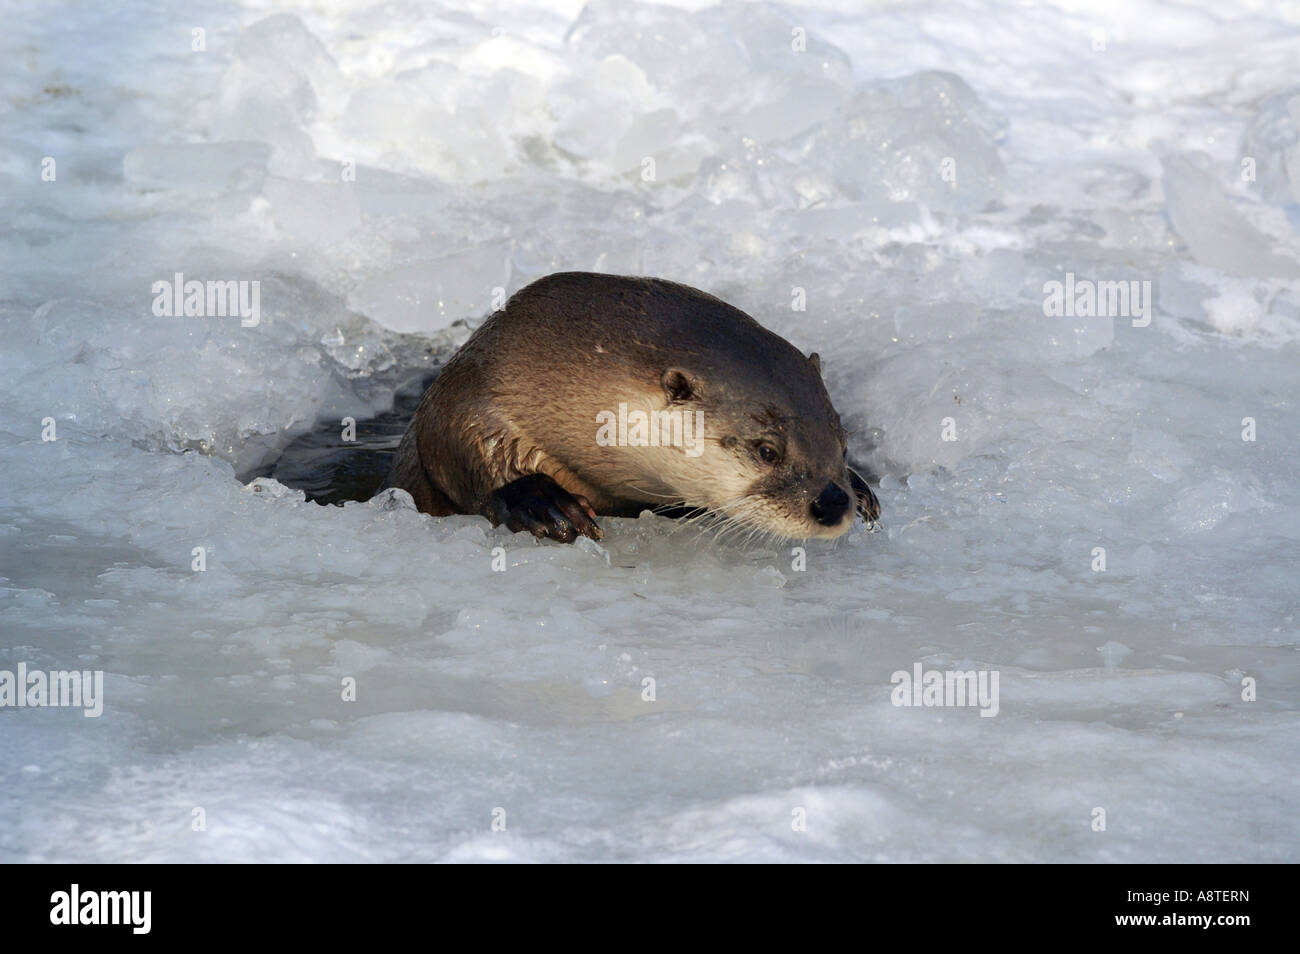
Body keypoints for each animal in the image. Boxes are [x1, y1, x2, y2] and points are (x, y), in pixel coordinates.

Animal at [381, 272, 879, 543]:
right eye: (767, 451)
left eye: (843, 444)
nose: (834, 503)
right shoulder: (479, 384)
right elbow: (456, 440)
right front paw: (542, 502)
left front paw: (863, 489)